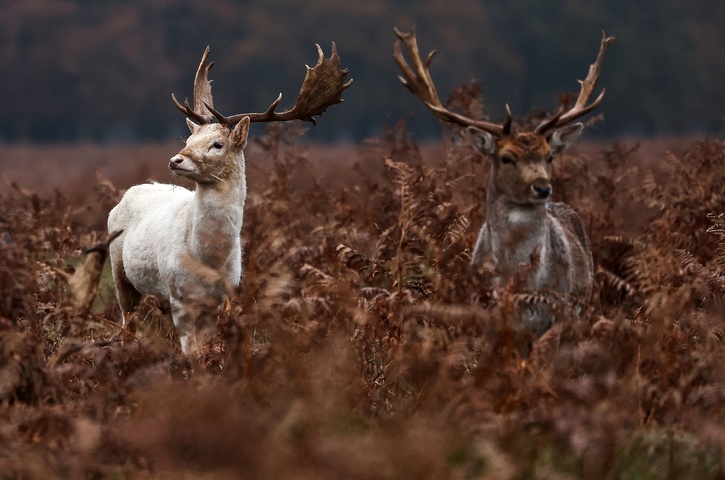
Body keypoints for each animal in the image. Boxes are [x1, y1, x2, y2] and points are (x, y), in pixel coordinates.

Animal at [108, 44, 352, 354]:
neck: (208, 260)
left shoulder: (225, 296)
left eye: (217, 144)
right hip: (119, 272)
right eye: (189, 140)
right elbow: (191, 353)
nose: (175, 160)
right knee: (127, 325)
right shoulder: (178, 294)